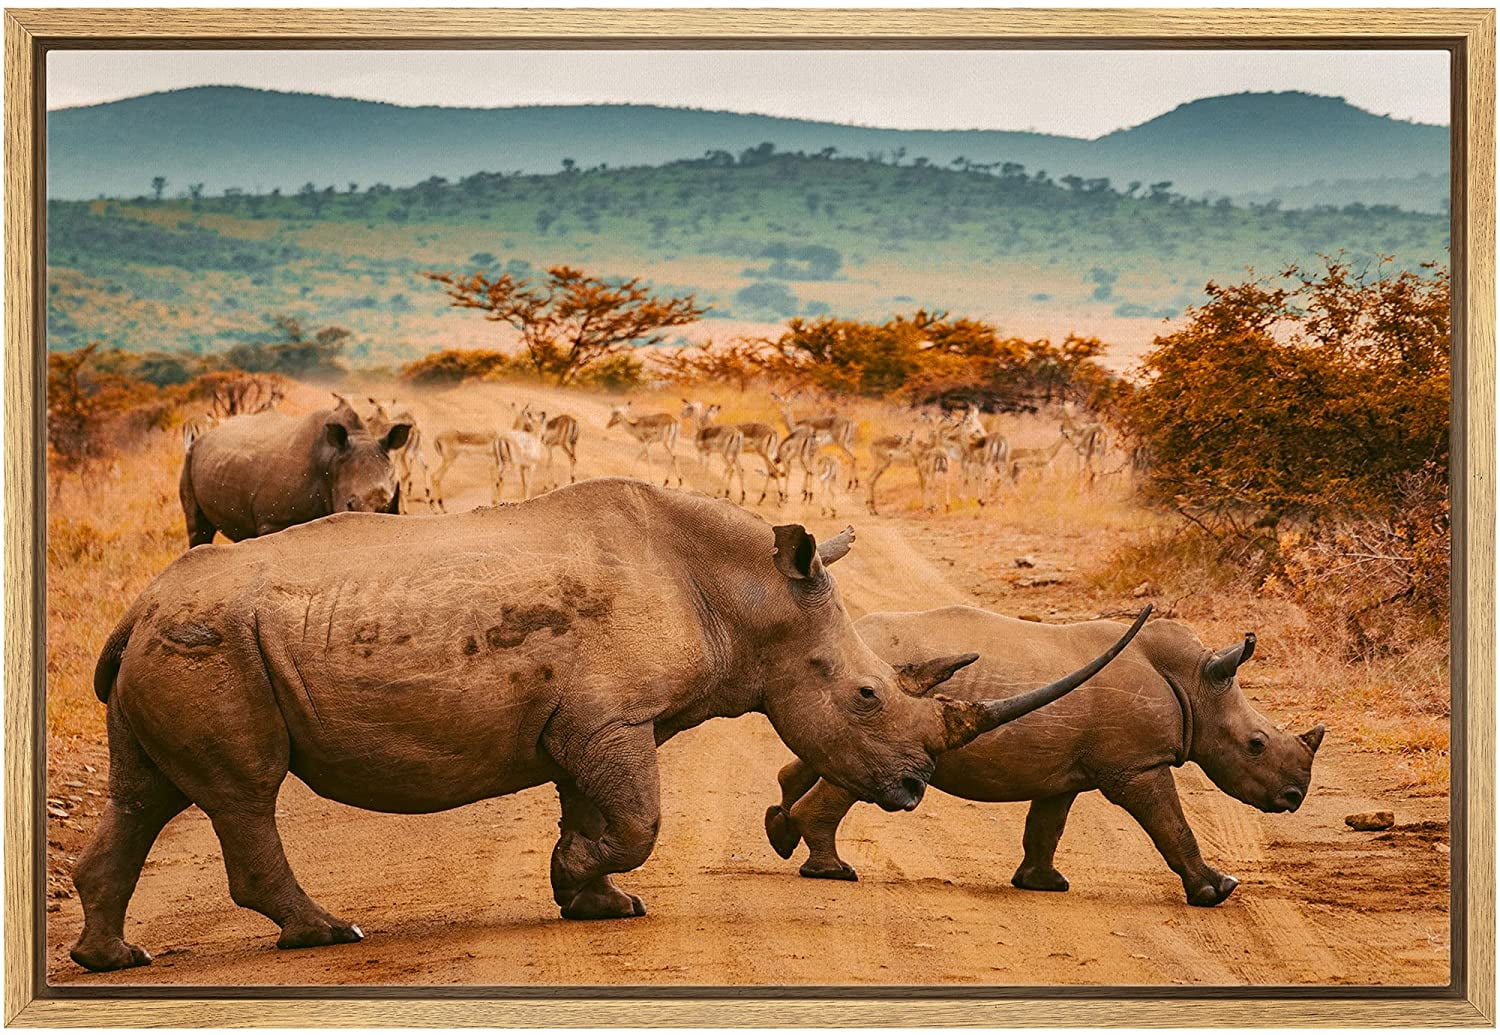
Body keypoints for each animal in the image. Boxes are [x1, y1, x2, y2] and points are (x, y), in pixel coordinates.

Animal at [71, 479, 1150, 972]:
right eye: (867, 696)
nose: (915, 789)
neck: (748, 595)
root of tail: (137, 605)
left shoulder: (591, 722)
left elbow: (595, 809)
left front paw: (591, 900)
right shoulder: (612, 718)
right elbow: (637, 820)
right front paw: (588, 881)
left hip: (177, 639)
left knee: (144, 793)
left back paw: (112, 959)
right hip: (212, 642)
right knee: (244, 792)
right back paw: (328, 934)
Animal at [179, 394, 411, 546]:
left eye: (388, 505)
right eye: (349, 505)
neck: (331, 460)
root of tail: (206, 434)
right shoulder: (273, 521)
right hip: (190, 456)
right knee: (198, 529)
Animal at [765, 606, 1323, 907]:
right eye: (1255, 744)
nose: (1294, 797)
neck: (1196, 684)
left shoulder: (1066, 770)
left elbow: (1047, 826)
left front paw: (1043, 885)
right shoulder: (1137, 766)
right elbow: (1172, 825)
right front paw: (1218, 890)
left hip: (855, 695)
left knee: (822, 755)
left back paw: (782, 833)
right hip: (877, 702)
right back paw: (834, 872)